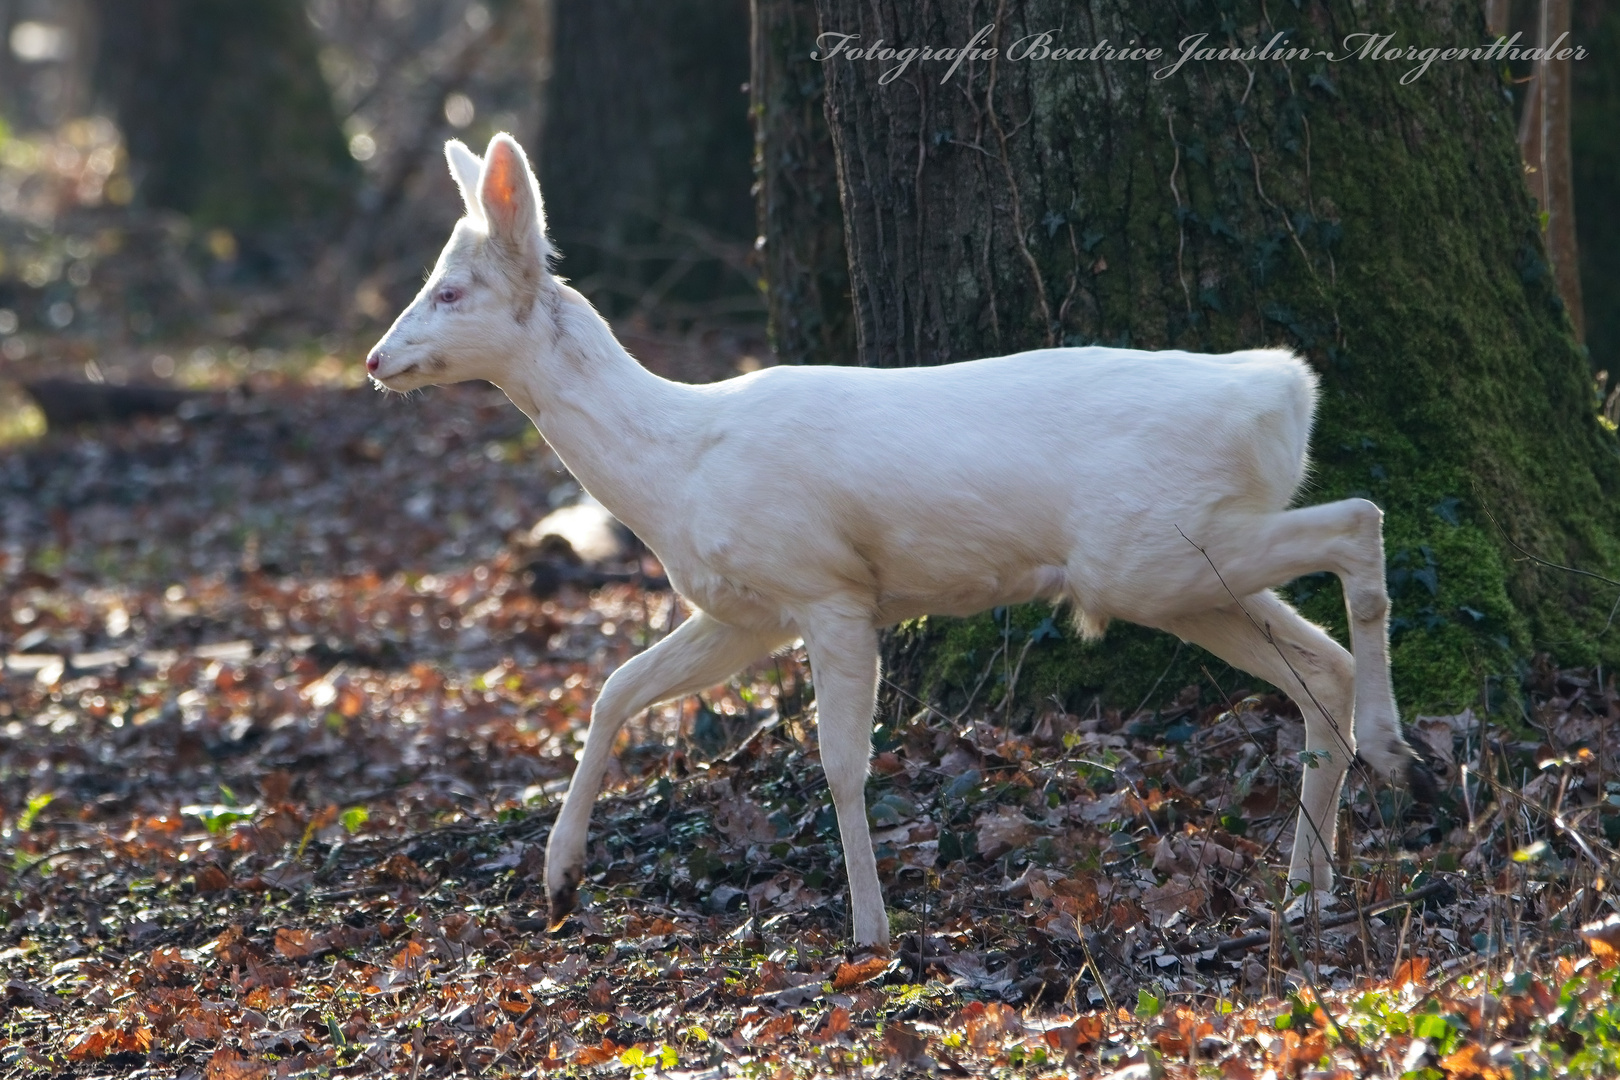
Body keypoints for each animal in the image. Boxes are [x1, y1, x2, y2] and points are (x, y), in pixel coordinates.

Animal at [370, 132, 1432, 945]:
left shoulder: (829, 587)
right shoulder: (748, 611)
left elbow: (842, 762)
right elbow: (616, 688)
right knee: (1319, 667)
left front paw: (870, 929)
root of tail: (1283, 394)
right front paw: (560, 877)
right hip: (1183, 570)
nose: (379, 360)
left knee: (1358, 523)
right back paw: (1308, 890)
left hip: (1147, 554)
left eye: (452, 290)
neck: (677, 462)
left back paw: (1387, 748)